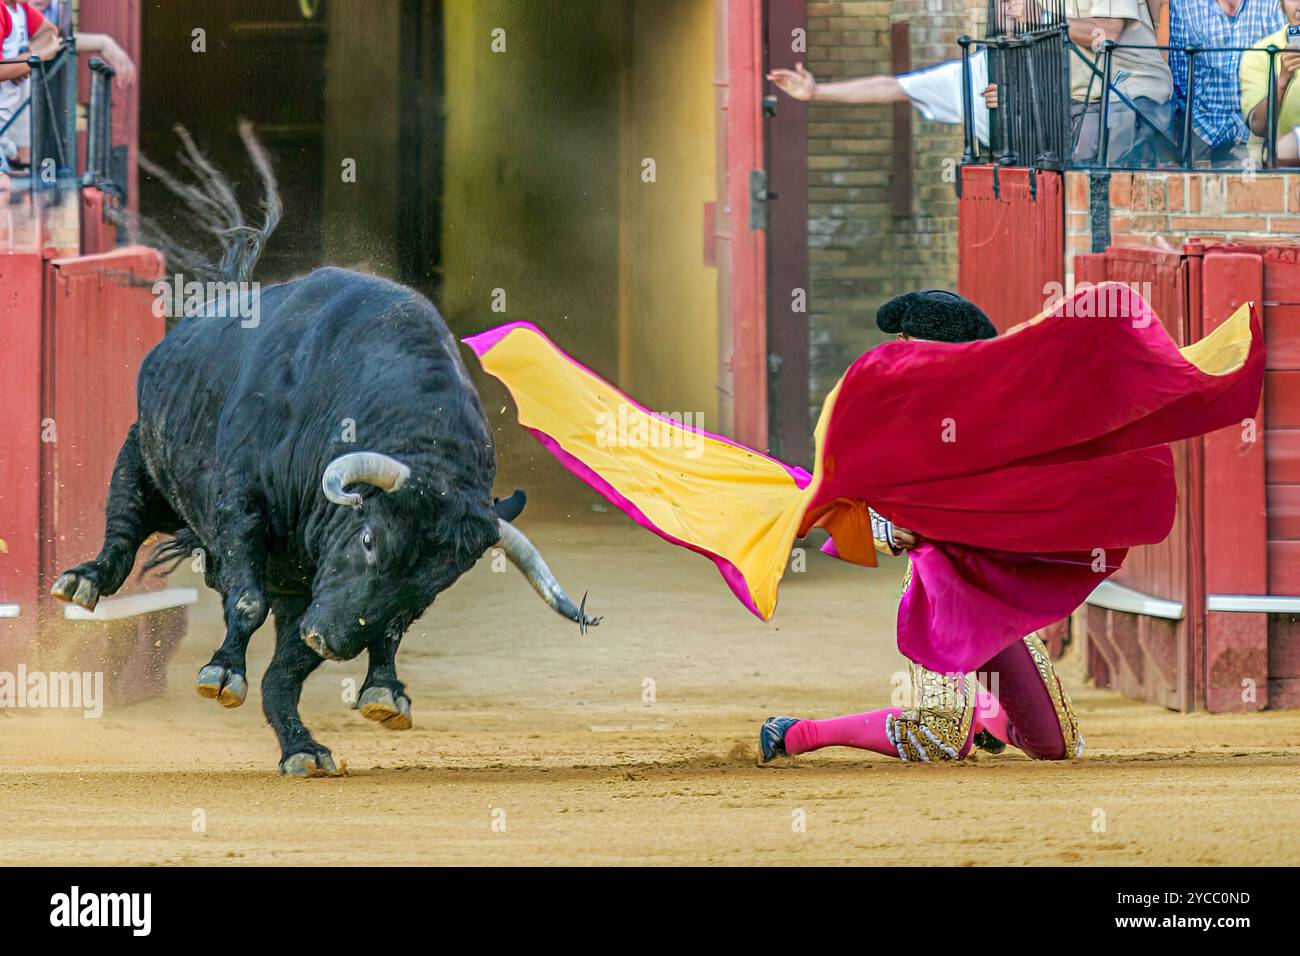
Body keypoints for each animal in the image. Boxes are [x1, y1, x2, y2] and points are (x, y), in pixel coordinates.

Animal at [49, 124, 598, 775]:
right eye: (368, 539)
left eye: (437, 582)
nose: (330, 640)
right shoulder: (241, 506)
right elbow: (245, 602)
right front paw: (220, 672)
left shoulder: (320, 589)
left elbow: (351, 641)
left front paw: (376, 691)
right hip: (142, 458)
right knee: (124, 526)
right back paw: (82, 582)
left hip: (295, 587)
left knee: (285, 673)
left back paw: (307, 746)